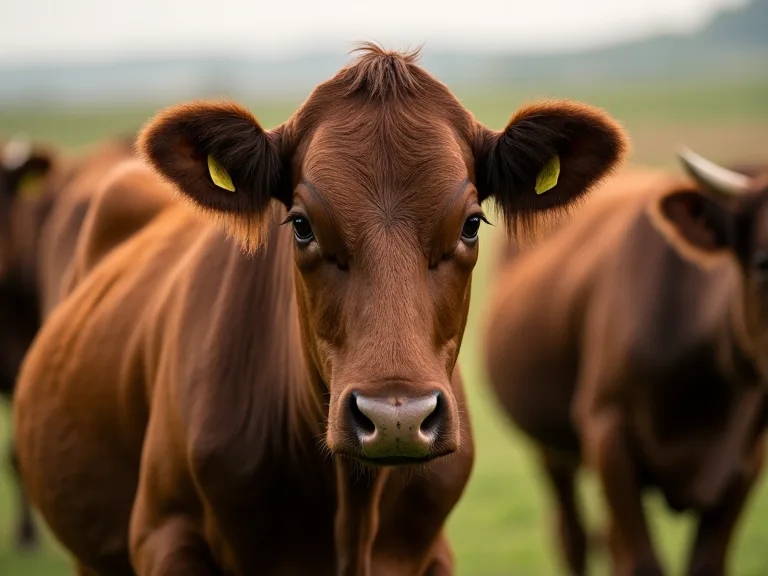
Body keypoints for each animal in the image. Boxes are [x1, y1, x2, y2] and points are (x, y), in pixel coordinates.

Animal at [483, 150, 768, 576]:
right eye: (764, 263)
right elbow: (642, 562)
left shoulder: (745, 462)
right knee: (574, 536)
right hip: (550, 443)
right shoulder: (607, 431)